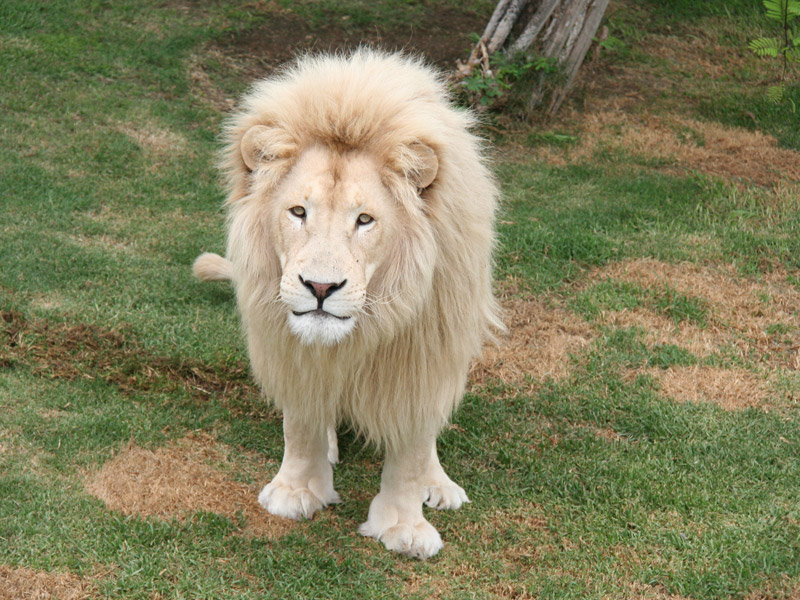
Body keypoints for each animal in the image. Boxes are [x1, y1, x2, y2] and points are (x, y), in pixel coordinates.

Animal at [193, 50, 503, 559]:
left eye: (365, 220)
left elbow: (411, 451)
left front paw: (404, 526)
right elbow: (299, 426)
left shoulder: (423, 355)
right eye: (298, 211)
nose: (320, 287)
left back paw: (440, 484)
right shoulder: (291, 351)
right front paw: (296, 491)